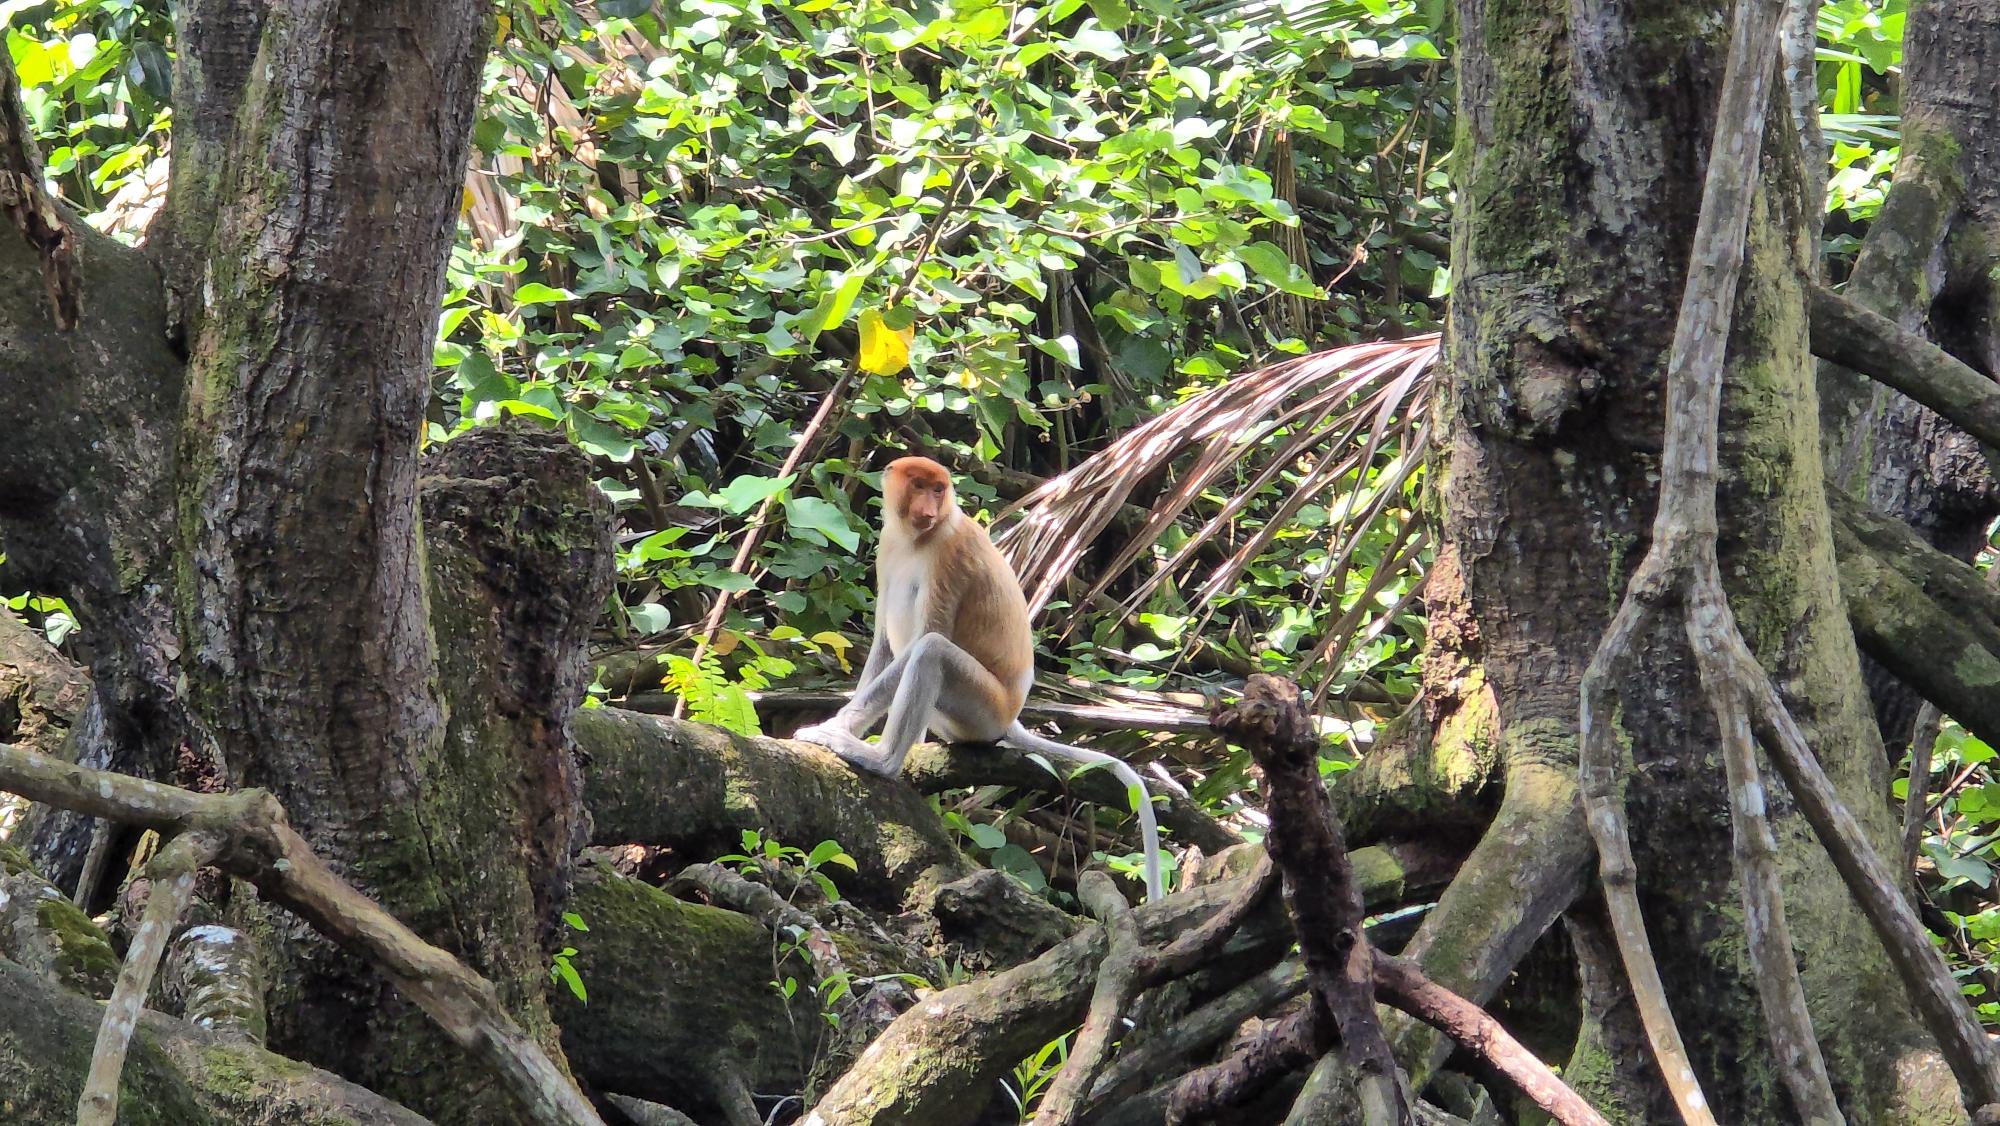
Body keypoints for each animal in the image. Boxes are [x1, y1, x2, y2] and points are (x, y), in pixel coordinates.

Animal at [796, 454, 1168, 904]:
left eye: (938, 489)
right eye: (919, 485)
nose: (929, 507)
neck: (917, 538)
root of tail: (1011, 716)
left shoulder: (950, 552)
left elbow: (923, 638)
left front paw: (832, 728)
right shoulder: (888, 547)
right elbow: (883, 644)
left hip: (983, 707)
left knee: (931, 651)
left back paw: (882, 760)